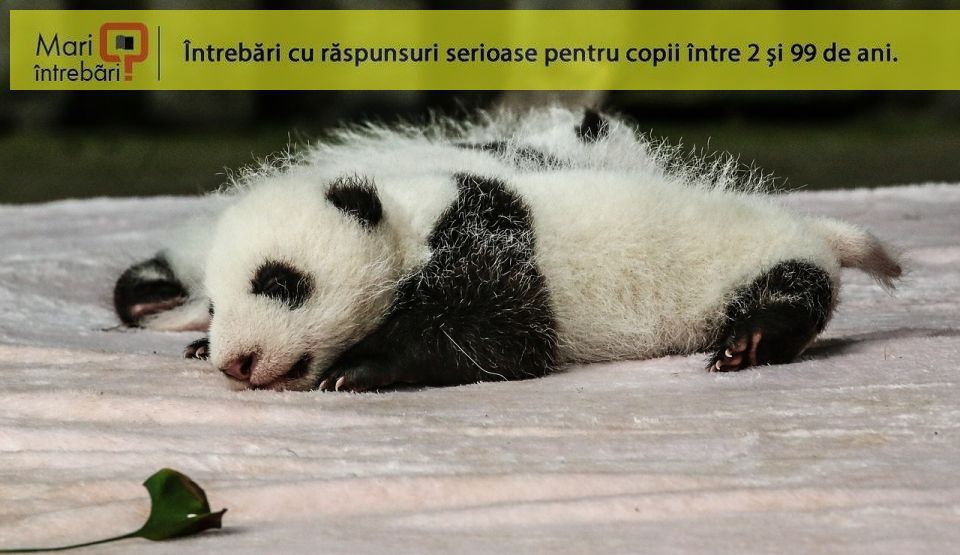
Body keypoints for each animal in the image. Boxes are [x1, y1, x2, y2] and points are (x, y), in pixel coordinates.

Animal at [114, 107, 902, 392]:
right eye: (216, 303)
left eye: (280, 282)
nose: (237, 363)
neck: (410, 213)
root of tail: (812, 228)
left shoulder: (488, 245)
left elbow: (497, 337)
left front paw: (358, 369)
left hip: (757, 257)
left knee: (790, 291)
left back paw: (750, 341)